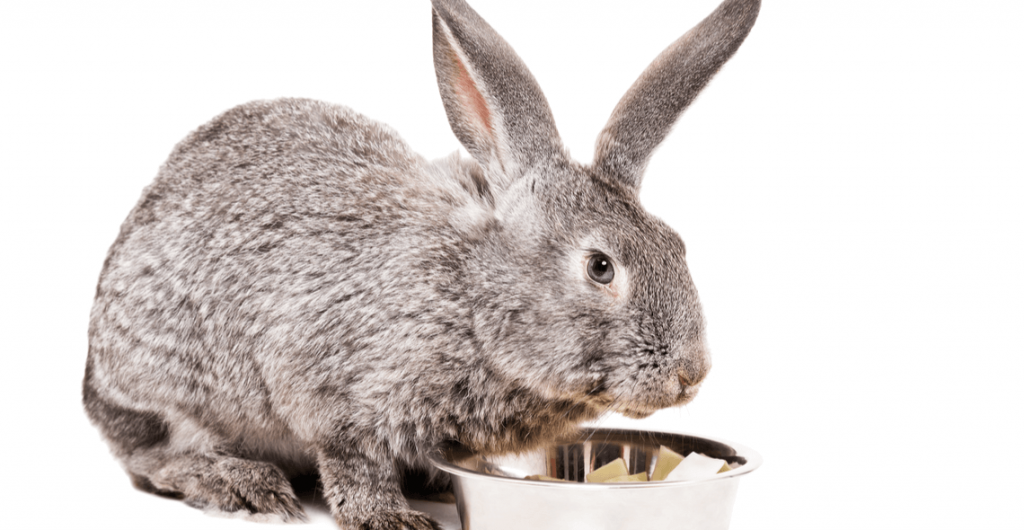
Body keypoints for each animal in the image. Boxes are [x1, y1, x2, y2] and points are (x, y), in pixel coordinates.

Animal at [82, 0, 760, 528]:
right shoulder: (340, 397)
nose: (692, 374)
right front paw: (388, 517)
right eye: (600, 267)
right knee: (156, 458)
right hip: (167, 388)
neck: (471, 297)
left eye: (677, 245)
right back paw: (243, 484)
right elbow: (353, 462)